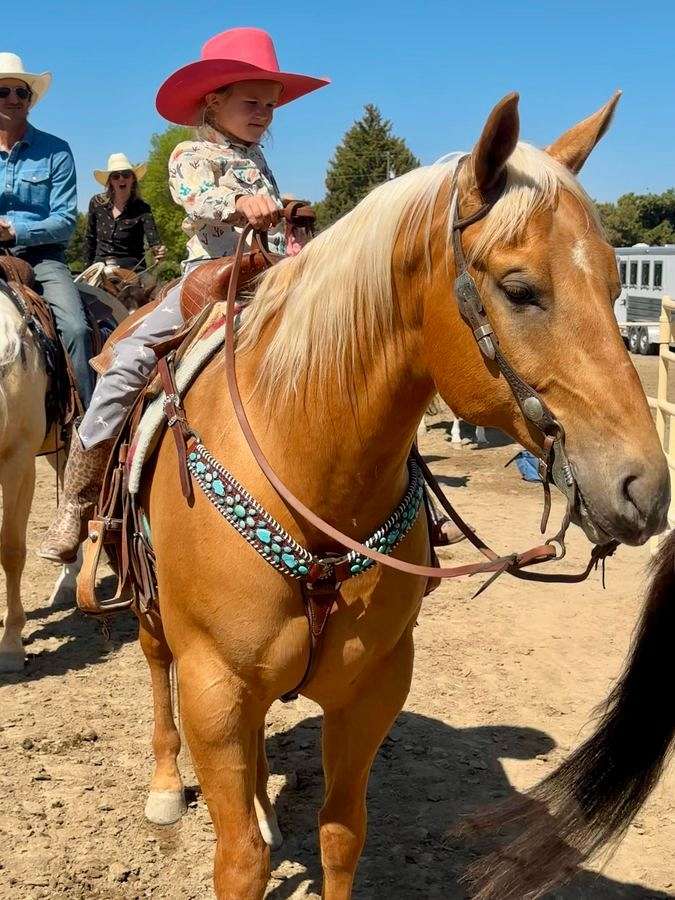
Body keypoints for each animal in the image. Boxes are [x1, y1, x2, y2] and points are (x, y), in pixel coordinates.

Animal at [130, 92, 669, 899]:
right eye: (519, 290)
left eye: (615, 288)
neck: (308, 471)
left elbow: (341, 836)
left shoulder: (372, 687)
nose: (645, 490)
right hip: (151, 614)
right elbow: (239, 861)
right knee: (153, 666)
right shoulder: (213, 688)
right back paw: (167, 786)